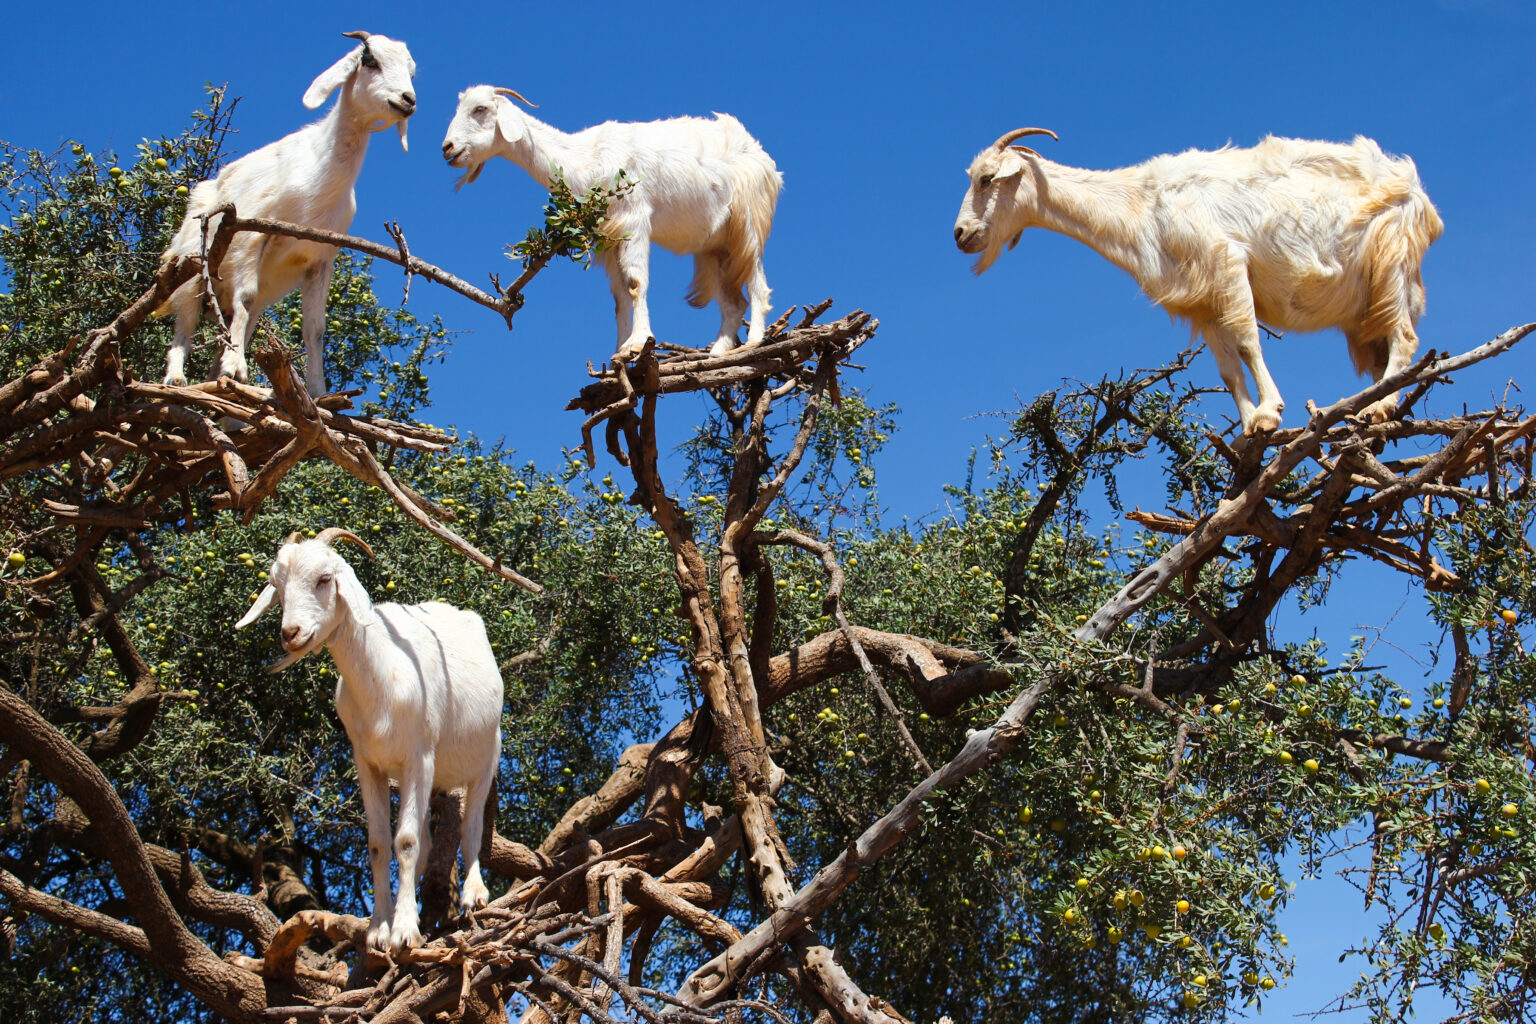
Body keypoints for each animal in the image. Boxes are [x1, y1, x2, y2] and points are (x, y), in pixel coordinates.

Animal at [159, 32, 417, 397]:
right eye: (370, 61)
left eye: (411, 71)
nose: (408, 100)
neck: (318, 173)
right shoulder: (251, 234)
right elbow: (247, 296)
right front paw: (237, 367)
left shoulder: (320, 258)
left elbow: (315, 328)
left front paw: (319, 391)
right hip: (190, 269)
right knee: (185, 322)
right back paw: (177, 378)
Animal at [235, 528, 502, 954]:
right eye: (277, 585)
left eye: (325, 578)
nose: (290, 634)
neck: (383, 675)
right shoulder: (368, 764)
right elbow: (378, 844)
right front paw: (379, 927)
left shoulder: (419, 756)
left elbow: (406, 842)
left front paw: (404, 931)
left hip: (486, 757)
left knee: (471, 826)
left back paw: (473, 894)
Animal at [441, 85, 782, 360]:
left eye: (480, 109)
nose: (447, 148)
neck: (584, 157)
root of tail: (764, 158)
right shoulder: (607, 238)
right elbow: (619, 297)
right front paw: (619, 352)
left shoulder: (634, 220)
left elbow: (635, 283)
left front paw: (639, 343)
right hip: (714, 246)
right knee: (733, 302)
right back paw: (719, 350)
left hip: (748, 223)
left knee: (757, 281)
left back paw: (753, 341)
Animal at [954, 130, 1443, 434]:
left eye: (987, 178)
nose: (960, 234)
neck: (1142, 205)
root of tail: (1419, 192)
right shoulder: (1203, 301)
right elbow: (1227, 369)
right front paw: (1247, 431)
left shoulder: (1227, 264)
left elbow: (1248, 341)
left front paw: (1269, 413)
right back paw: (1377, 412)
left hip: (1391, 260)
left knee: (1404, 336)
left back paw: (1380, 406)